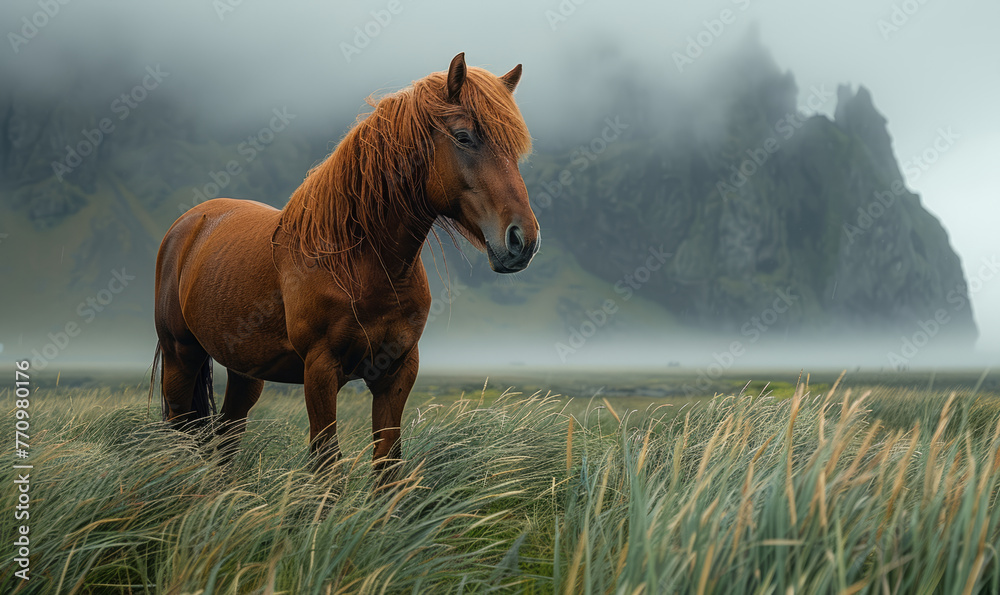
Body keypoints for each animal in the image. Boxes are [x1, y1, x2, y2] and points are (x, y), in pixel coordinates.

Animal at [151, 53, 539, 479]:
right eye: (464, 137)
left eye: (515, 149)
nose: (523, 241)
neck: (361, 263)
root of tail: (192, 221)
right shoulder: (320, 370)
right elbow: (327, 465)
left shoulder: (397, 371)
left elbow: (387, 465)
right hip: (180, 355)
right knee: (180, 429)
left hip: (244, 371)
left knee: (227, 435)